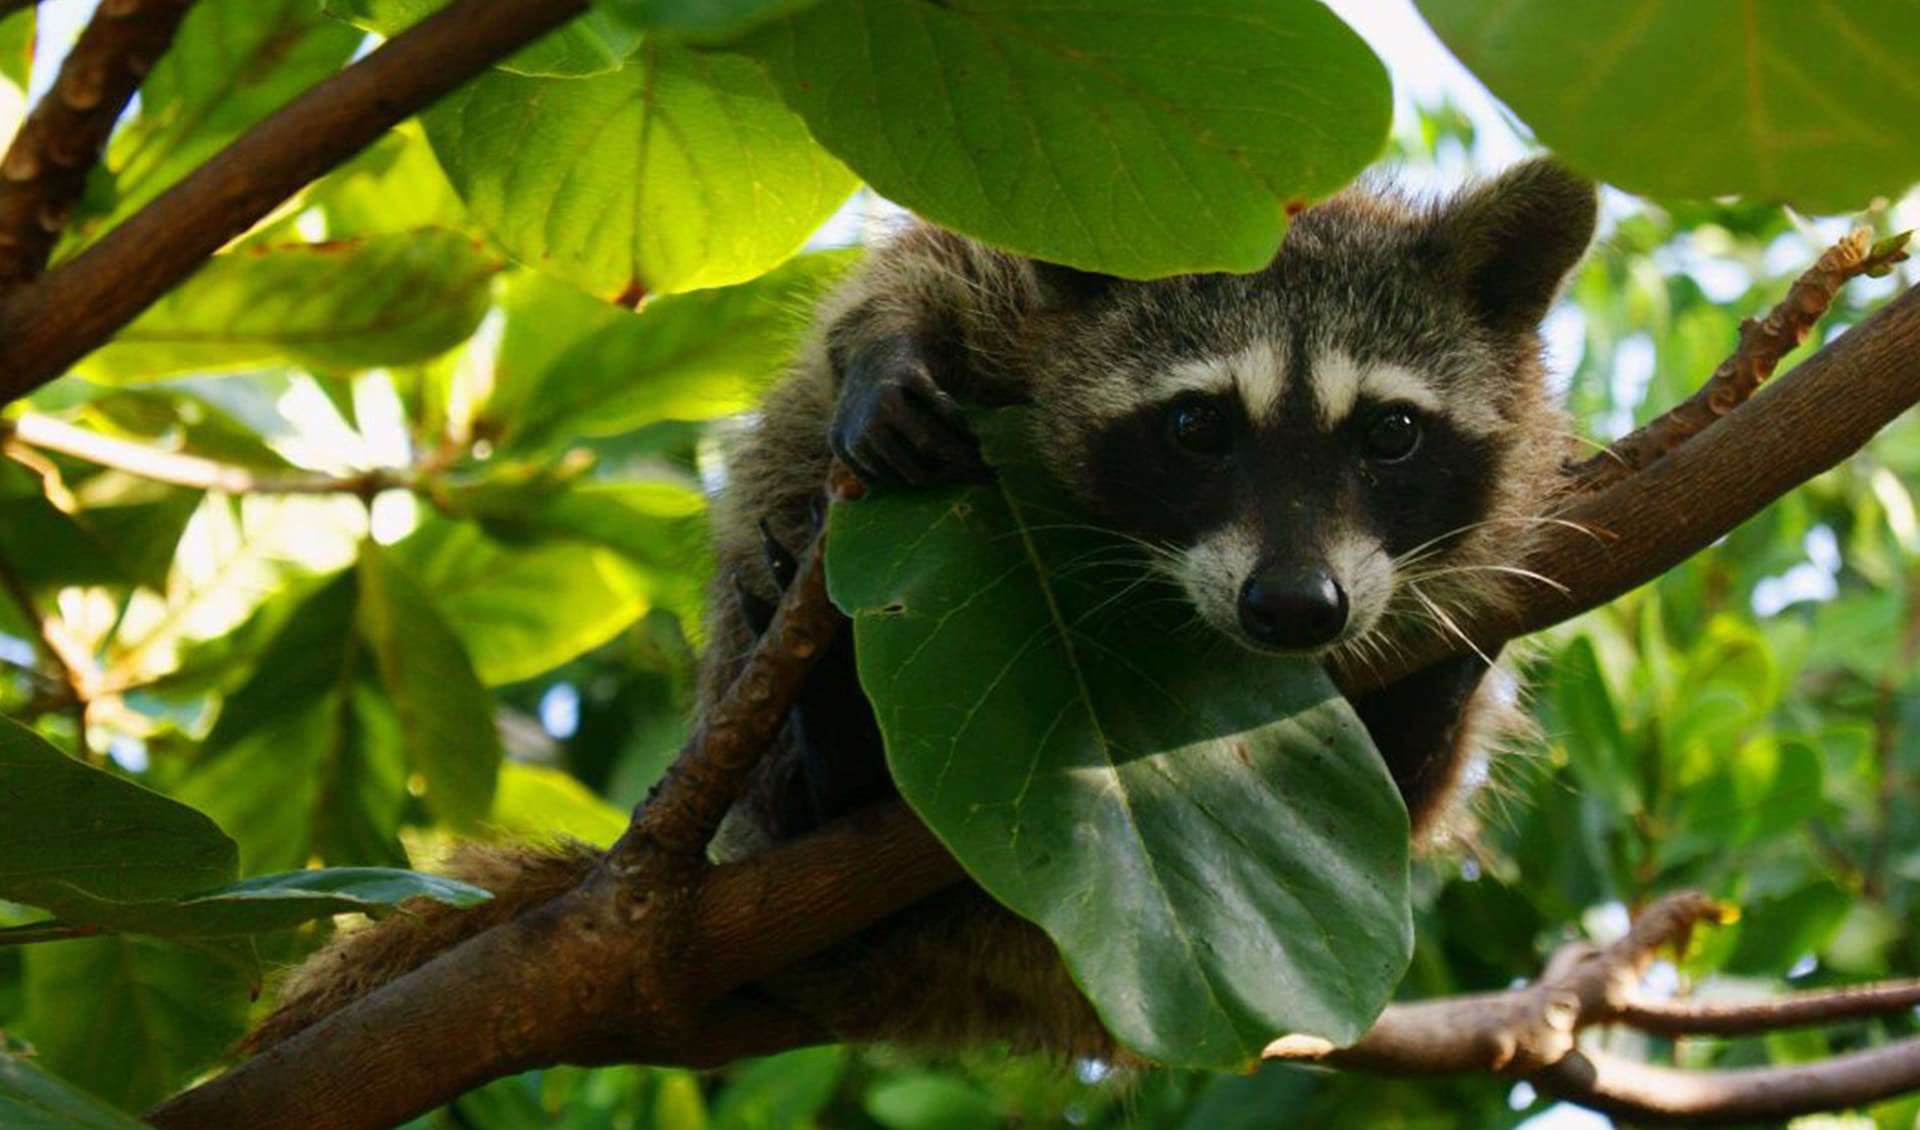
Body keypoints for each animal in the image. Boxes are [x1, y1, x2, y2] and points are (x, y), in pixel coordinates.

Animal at [251, 159, 1597, 1059]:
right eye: (1197, 425)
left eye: (1391, 433)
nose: (1294, 606)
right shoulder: (1024, 283)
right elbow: (912, 276)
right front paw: (890, 351)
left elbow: (1429, 773)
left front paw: (1452, 657)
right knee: (782, 483)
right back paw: (832, 740)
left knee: (1413, 792)